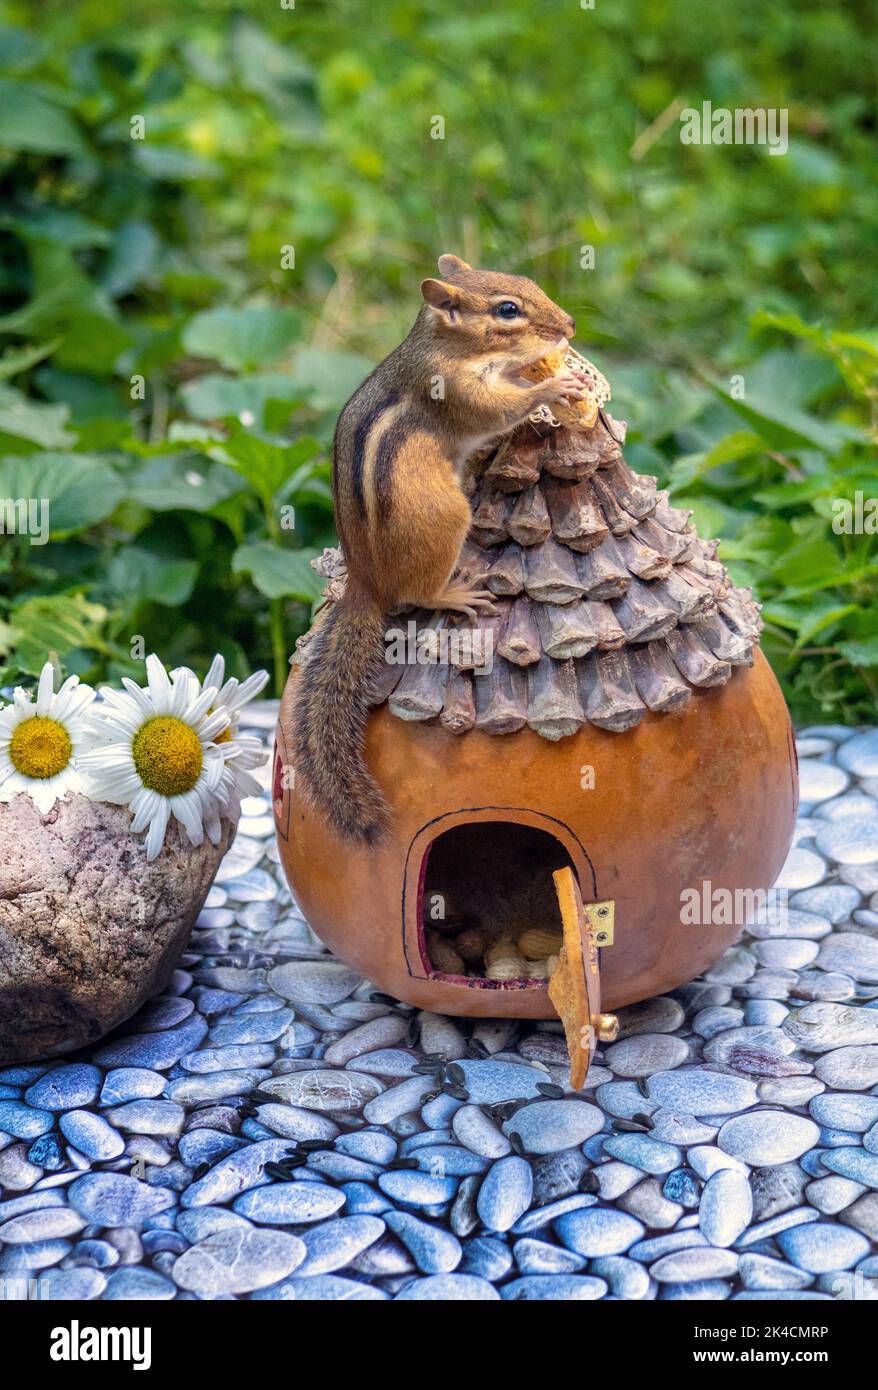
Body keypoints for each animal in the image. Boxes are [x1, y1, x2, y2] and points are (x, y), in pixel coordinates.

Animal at [292, 254, 585, 845]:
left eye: (528, 285)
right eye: (507, 310)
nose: (568, 326)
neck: (449, 347)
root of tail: (365, 583)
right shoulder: (459, 391)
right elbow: (499, 411)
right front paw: (550, 387)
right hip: (448, 517)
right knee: (419, 594)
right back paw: (456, 594)